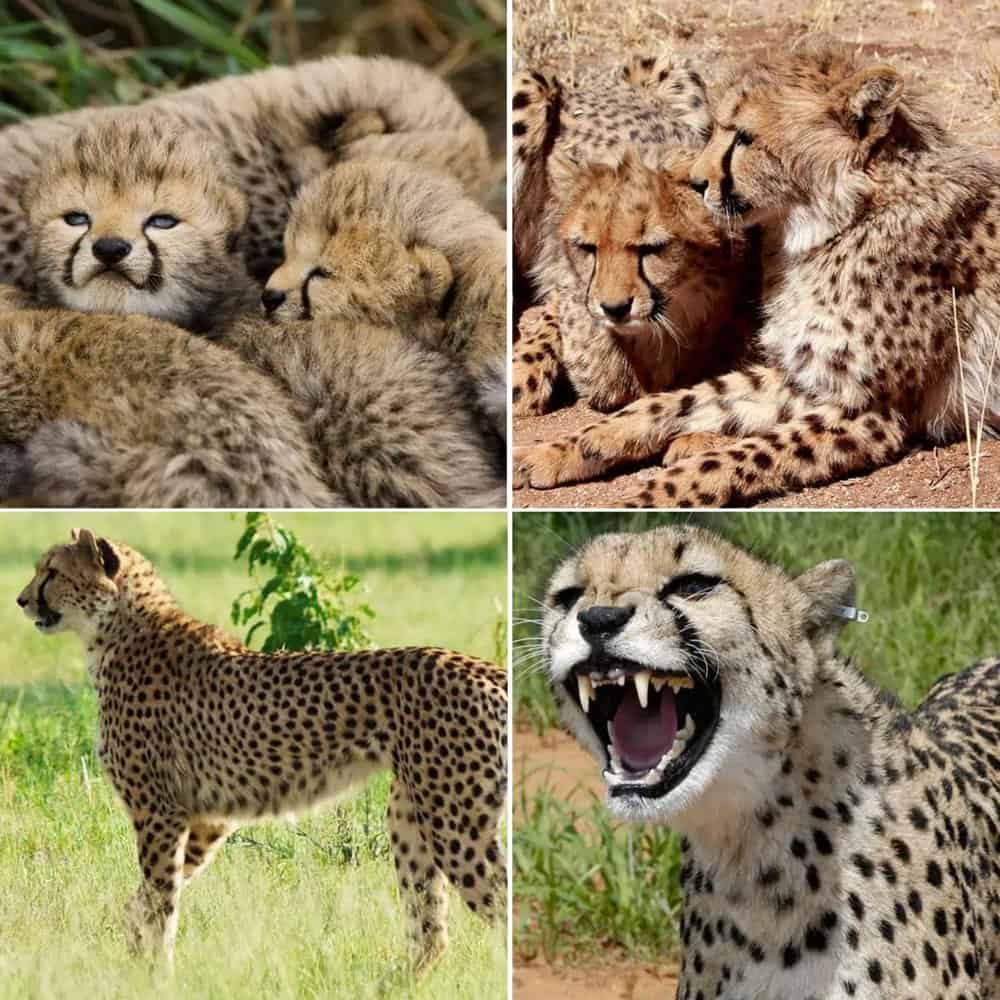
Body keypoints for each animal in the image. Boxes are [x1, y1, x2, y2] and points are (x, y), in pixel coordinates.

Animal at [18, 528, 507, 974]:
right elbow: (148, 896)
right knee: (432, 930)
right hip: (411, 815)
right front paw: (133, 951)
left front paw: (156, 974)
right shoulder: (206, 816)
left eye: (52, 572)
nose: (22, 600)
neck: (117, 629)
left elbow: (160, 900)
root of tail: (488, 670)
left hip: (454, 824)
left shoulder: (160, 811)